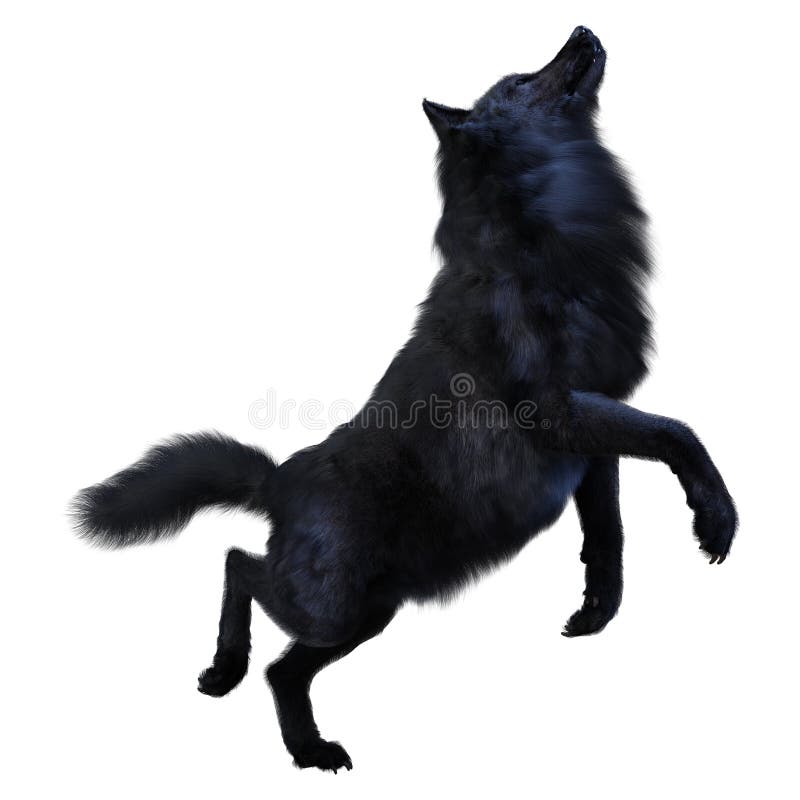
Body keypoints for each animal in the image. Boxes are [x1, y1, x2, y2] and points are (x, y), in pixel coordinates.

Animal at [71, 27, 738, 772]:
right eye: (519, 81)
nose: (583, 32)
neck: (542, 230)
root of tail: (278, 482)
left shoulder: (592, 445)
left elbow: (609, 533)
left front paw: (598, 609)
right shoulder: (562, 411)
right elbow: (679, 432)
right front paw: (716, 520)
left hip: (365, 616)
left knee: (280, 665)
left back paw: (295, 736)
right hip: (337, 610)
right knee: (239, 568)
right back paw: (235, 678)